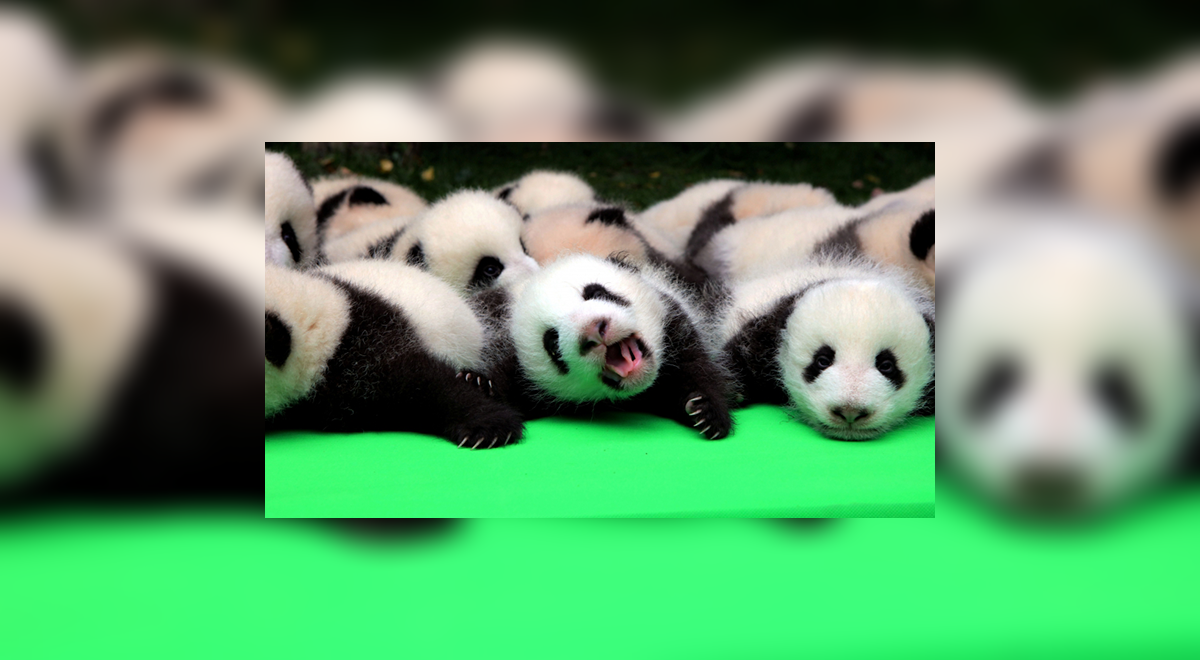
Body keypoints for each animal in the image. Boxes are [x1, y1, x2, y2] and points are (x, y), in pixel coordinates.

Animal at [475, 253, 733, 440]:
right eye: (552, 343)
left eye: (598, 292)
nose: (594, 331)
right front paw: (484, 398)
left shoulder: (675, 324)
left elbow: (697, 368)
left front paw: (705, 411)